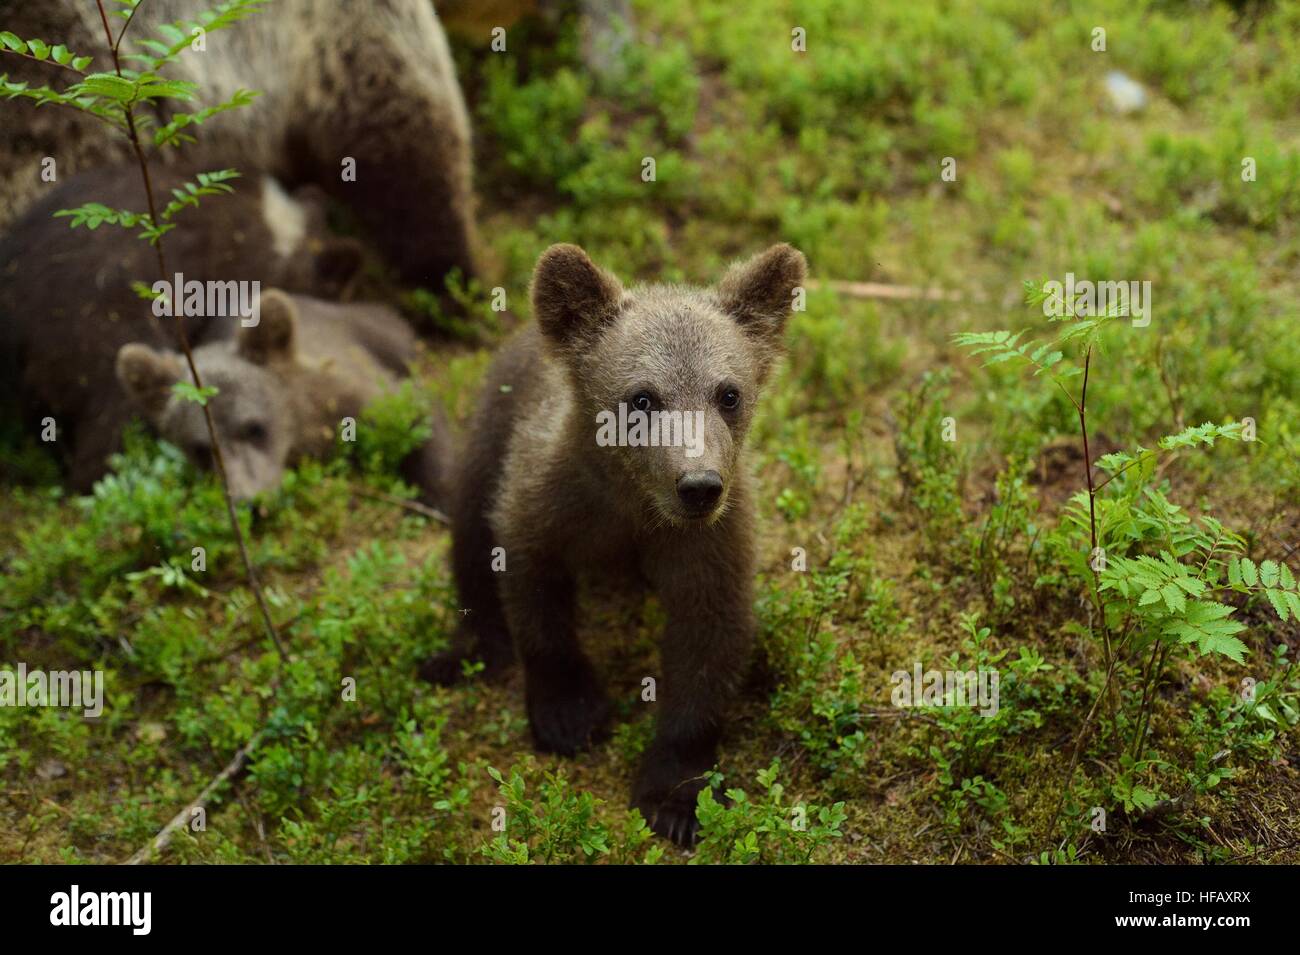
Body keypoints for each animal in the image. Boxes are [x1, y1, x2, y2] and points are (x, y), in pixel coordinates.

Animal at [421, 241, 807, 845]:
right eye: (642, 397)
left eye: (729, 394)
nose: (698, 485)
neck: (635, 503)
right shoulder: (546, 502)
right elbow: (533, 595)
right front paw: (568, 713)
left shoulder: (712, 544)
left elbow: (708, 646)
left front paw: (677, 798)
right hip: (489, 433)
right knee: (469, 535)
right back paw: (464, 651)